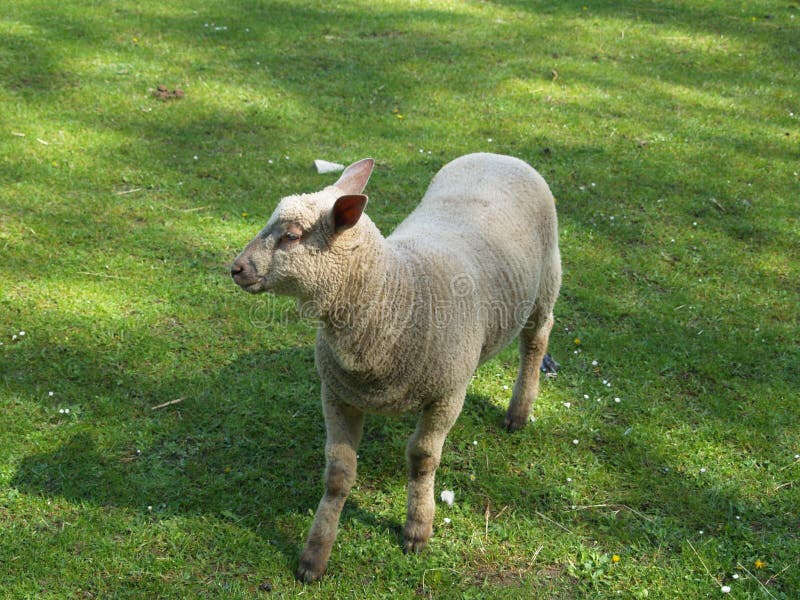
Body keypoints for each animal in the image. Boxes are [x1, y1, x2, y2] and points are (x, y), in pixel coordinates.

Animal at [231, 153, 561, 582]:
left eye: (291, 236)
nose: (236, 268)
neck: (397, 292)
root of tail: (498, 155)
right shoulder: (336, 393)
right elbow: (338, 475)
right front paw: (314, 556)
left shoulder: (447, 394)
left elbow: (422, 459)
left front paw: (417, 530)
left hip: (546, 282)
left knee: (536, 341)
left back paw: (519, 412)